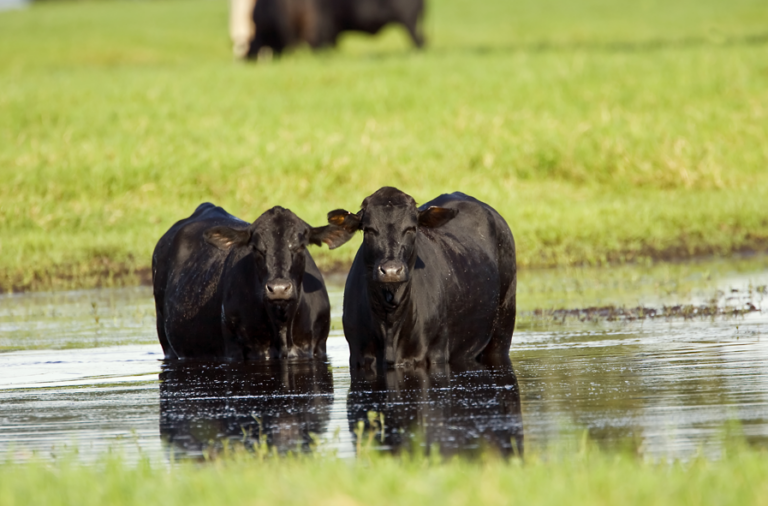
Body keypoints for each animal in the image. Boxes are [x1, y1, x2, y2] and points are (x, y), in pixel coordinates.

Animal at [152, 203, 351, 361]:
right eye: (256, 248)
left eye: (300, 246)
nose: (279, 289)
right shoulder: (235, 350)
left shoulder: (318, 346)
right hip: (167, 343)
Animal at [327, 187, 517, 370]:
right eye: (368, 229)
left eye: (411, 228)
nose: (391, 270)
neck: (390, 319)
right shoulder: (358, 356)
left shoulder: (436, 353)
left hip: (503, 326)